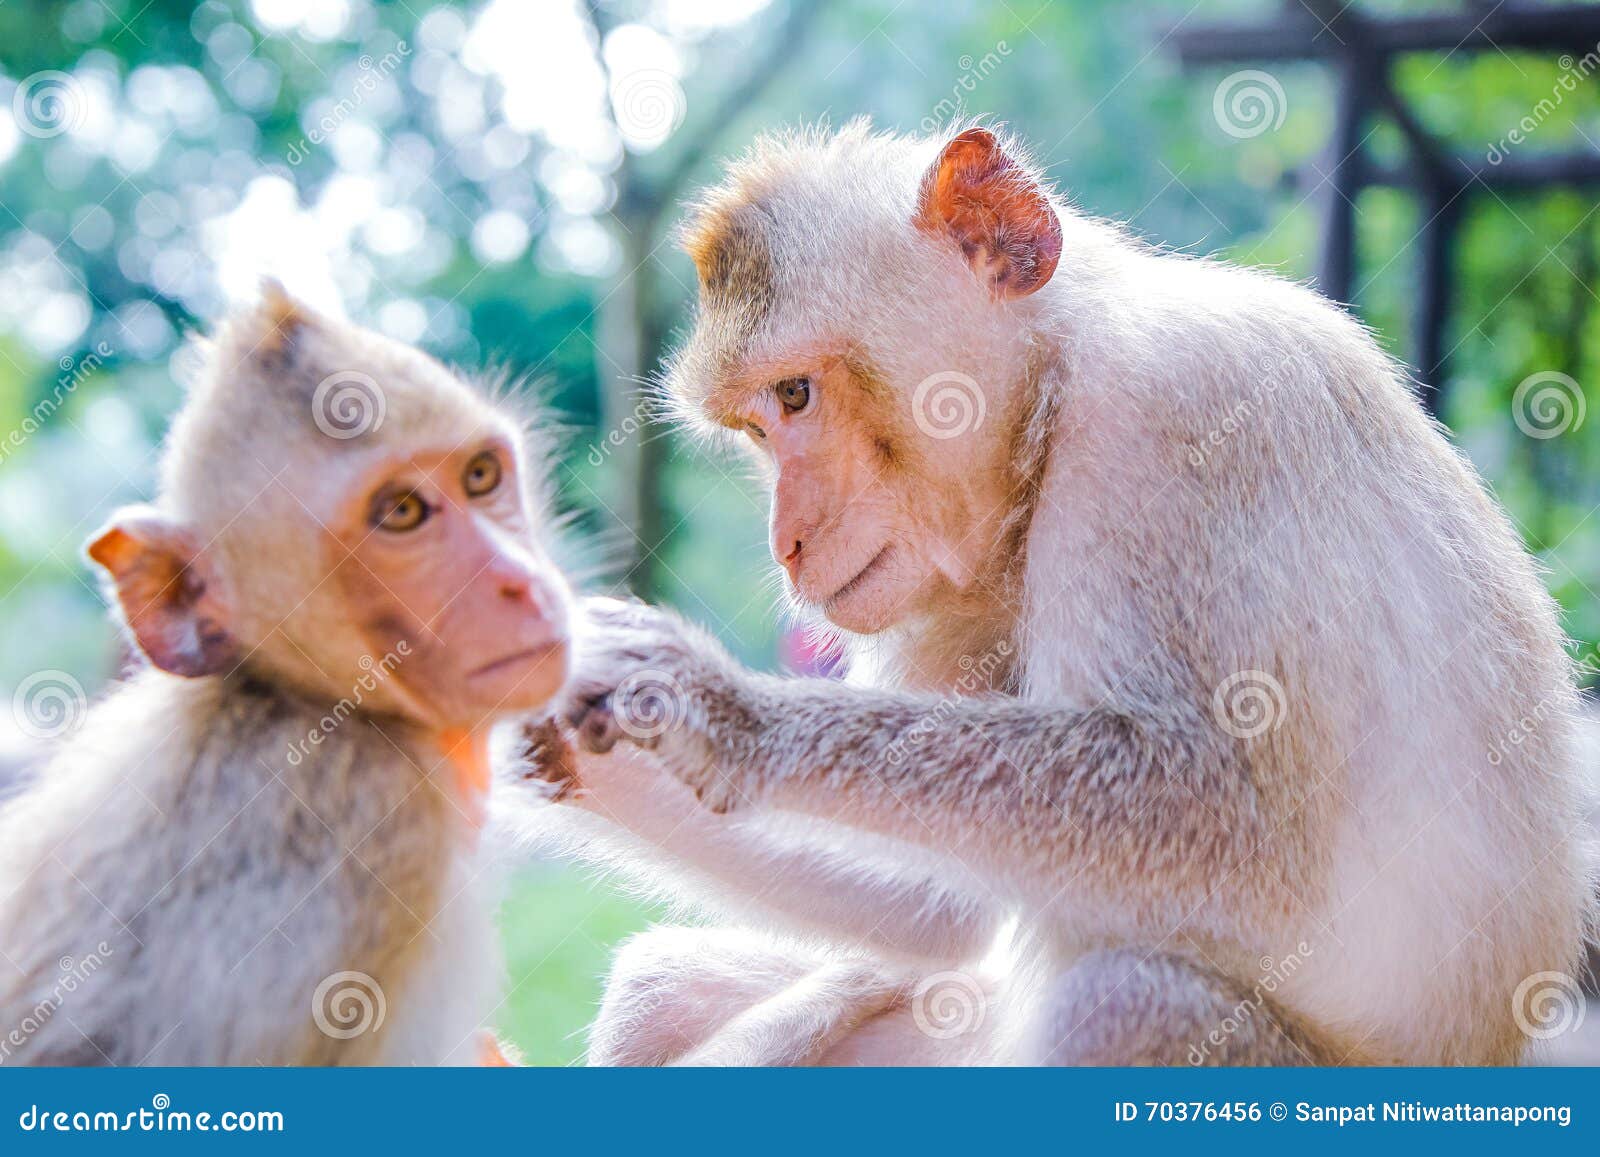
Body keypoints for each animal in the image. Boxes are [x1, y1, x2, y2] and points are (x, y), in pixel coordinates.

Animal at [525, 121, 1594, 1066]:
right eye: (753, 426)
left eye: (795, 395)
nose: (785, 544)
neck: (1054, 391)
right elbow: (946, 903)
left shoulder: (1176, 411)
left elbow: (1241, 836)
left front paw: (720, 708)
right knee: (667, 985)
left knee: (1118, 1002)